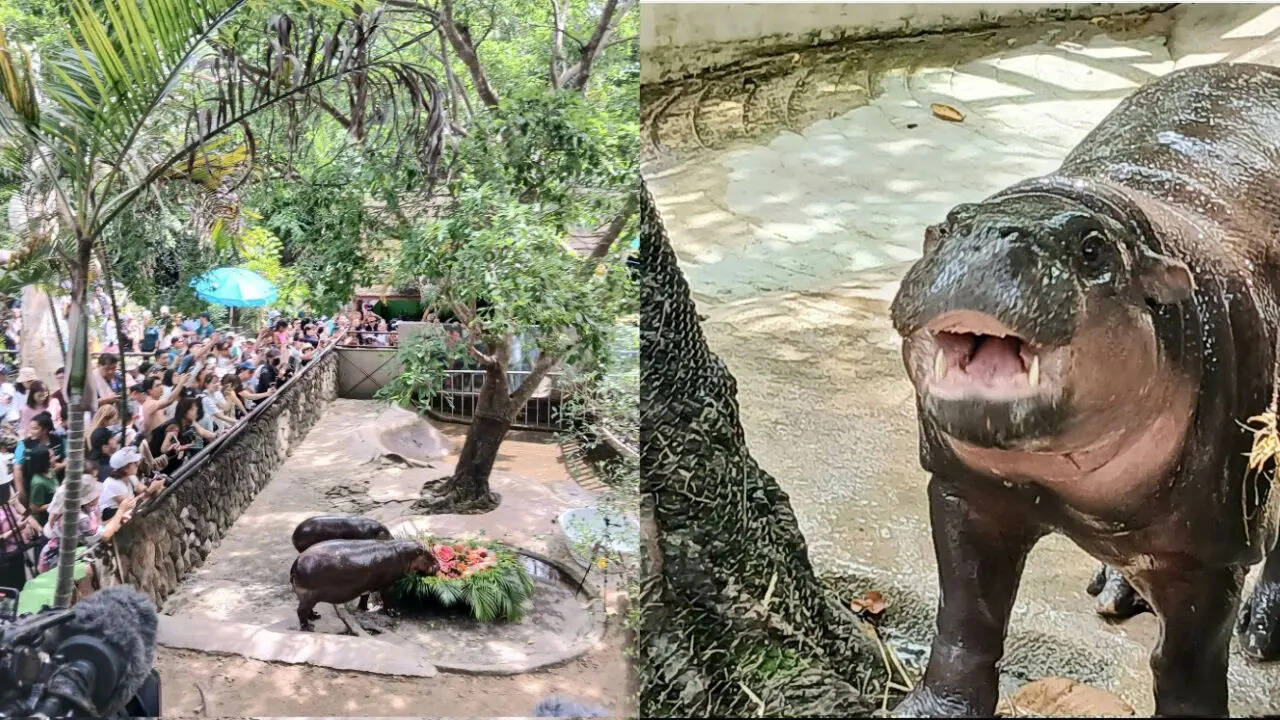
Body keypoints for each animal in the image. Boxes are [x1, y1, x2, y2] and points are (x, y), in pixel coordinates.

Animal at [290, 539, 437, 631]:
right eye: (430, 555)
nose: (439, 566)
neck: (403, 554)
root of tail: (297, 560)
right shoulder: (388, 584)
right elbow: (388, 599)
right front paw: (394, 613)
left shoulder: (366, 585)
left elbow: (365, 596)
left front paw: (365, 609)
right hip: (309, 595)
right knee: (300, 611)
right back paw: (308, 627)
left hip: (309, 597)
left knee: (307, 609)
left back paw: (315, 616)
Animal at [888, 63, 1280, 717]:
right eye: (947, 225)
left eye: (1093, 249)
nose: (994, 234)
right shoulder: (964, 488)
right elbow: (967, 620)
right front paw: (931, 709)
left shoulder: (1211, 551)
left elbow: (1186, 666)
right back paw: (1115, 591)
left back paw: (1261, 633)